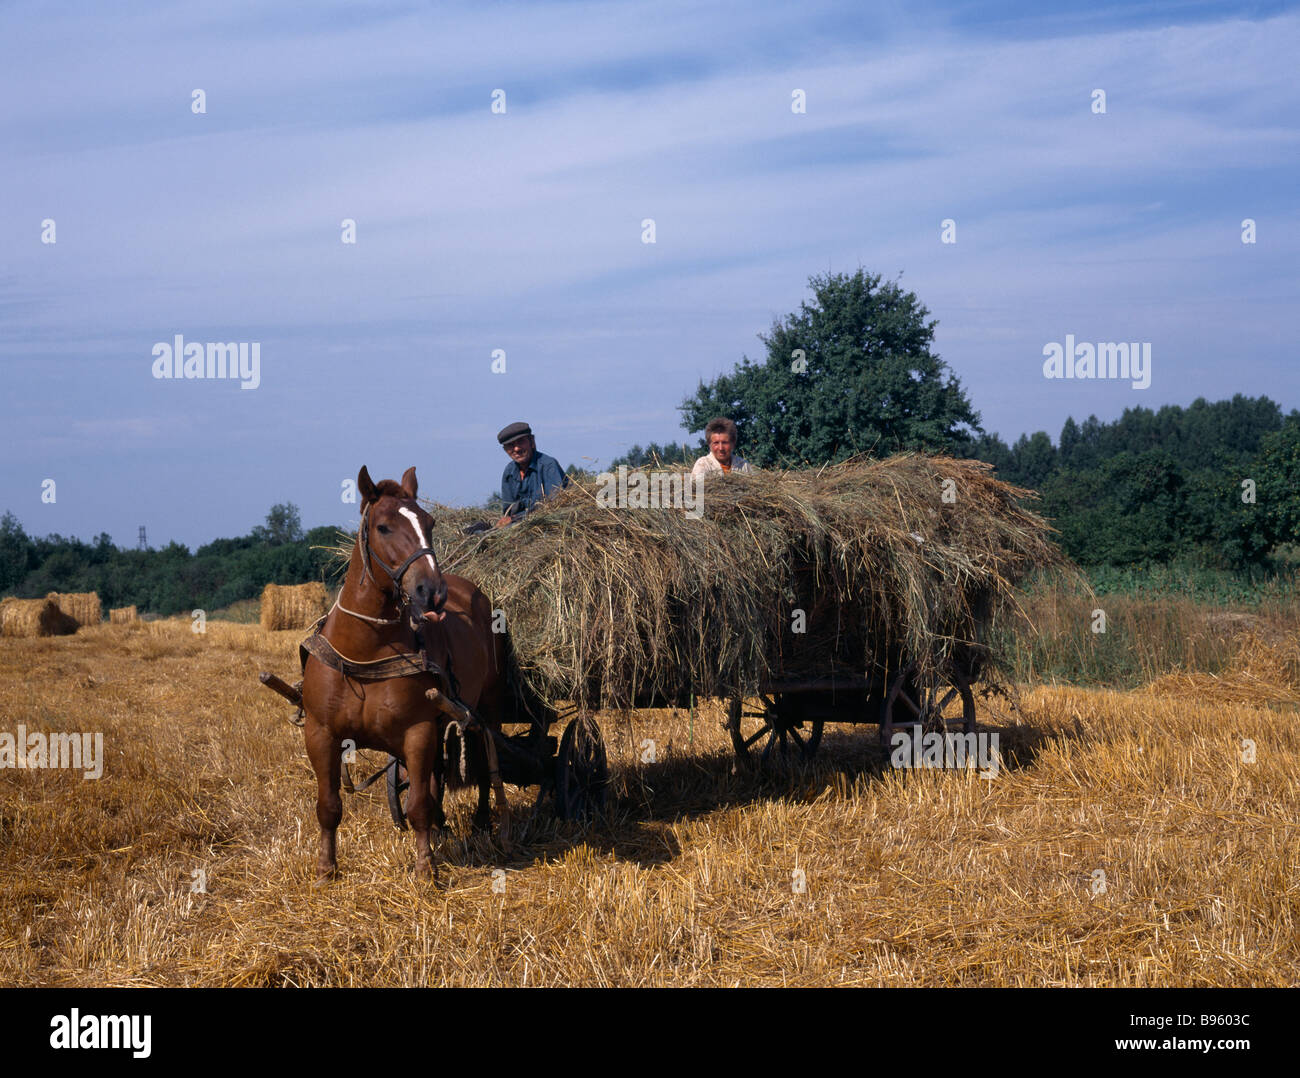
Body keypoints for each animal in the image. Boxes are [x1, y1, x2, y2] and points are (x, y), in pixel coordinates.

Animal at [299, 465, 510, 883]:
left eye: (429, 522)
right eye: (383, 527)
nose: (433, 591)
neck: (365, 652)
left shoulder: (418, 731)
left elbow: (417, 805)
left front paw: (426, 869)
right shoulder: (320, 733)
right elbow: (328, 804)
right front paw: (326, 869)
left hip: (486, 708)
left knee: (482, 763)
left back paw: (481, 822)